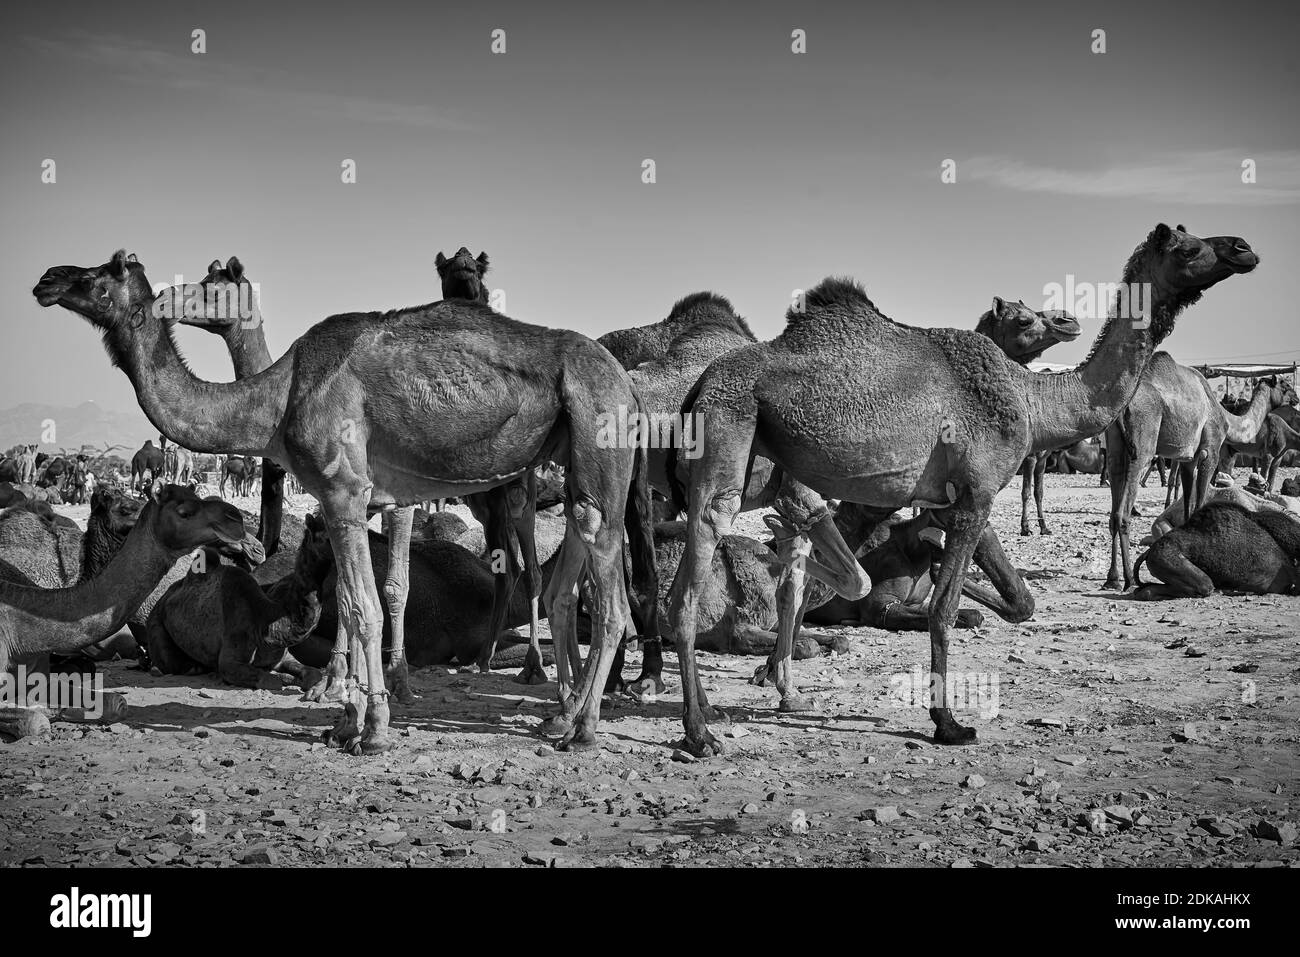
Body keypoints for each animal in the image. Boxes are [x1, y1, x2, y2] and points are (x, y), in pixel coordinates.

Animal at [0, 485, 246, 740]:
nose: (236, 518)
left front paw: (59, 709)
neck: (20, 634)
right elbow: (35, 723)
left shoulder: (42, 675)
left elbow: (117, 703)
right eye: (184, 512)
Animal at [36, 249, 656, 754]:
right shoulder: (342, 501)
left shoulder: (344, 491)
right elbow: (352, 603)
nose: (47, 278)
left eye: (105, 273)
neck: (277, 399)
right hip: (573, 460)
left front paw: (374, 728)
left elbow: (364, 607)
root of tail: (626, 384)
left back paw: (583, 728)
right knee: (569, 572)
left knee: (607, 592)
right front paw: (344, 723)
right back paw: (562, 716)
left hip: (596, 434)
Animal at [975, 299, 1082, 535]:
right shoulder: (1029, 457)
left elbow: (1038, 492)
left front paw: (1044, 526)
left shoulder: (1042, 457)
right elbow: (1024, 491)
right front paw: (1025, 527)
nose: (1069, 320)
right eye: (1023, 321)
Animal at [1105, 369, 1295, 589]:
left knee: (1113, 512)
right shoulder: (1210, 450)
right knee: (1123, 514)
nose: (1296, 398)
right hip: (1142, 445)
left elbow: (1188, 504)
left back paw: (1112, 578)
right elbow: (1200, 502)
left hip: (1115, 447)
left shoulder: (1188, 458)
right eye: (1285, 385)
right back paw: (1129, 579)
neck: (1226, 418)